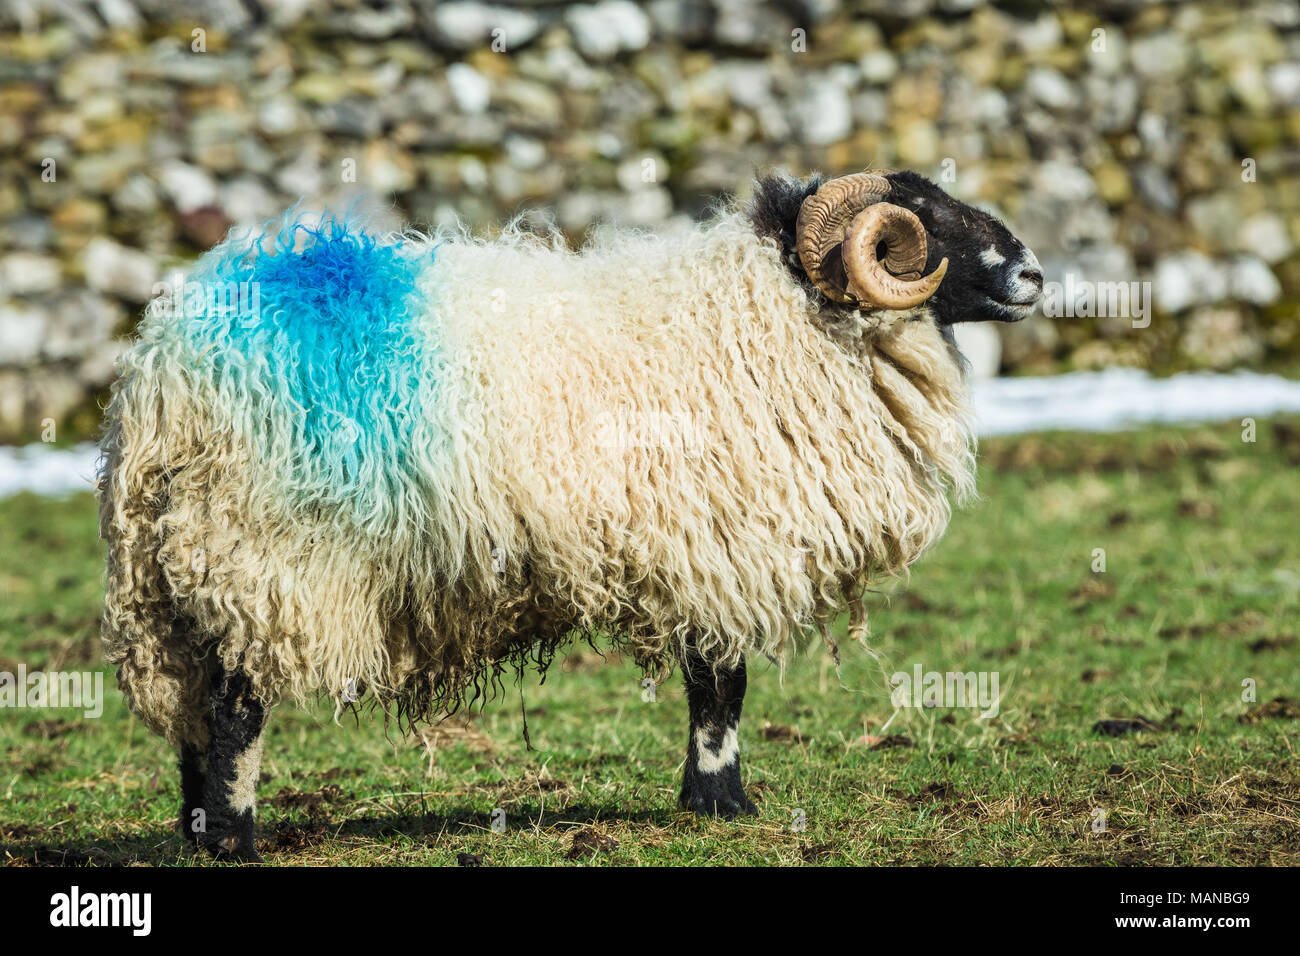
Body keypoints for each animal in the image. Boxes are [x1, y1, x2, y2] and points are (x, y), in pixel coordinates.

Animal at [99, 168, 1044, 860]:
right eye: (920, 221)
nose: (1033, 273)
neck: (773, 318)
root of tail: (163, 375)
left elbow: (711, 682)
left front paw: (708, 798)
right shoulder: (721, 545)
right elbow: (721, 687)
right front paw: (723, 801)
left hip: (187, 568)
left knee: (196, 713)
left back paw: (199, 835)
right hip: (265, 556)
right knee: (236, 710)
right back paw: (237, 841)